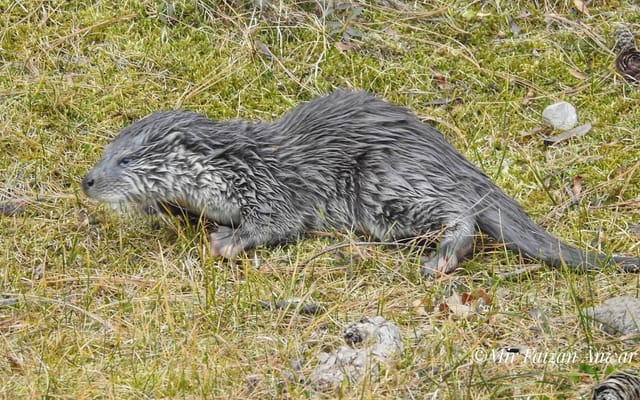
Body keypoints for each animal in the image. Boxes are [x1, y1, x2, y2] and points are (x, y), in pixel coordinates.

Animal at [82, 90, 639, 275]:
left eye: (126, 160)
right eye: (105, 152)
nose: (87, 181)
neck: (234, 168)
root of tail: (449, 156)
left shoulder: (275, 190)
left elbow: (278, 223)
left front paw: (229, 240)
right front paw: (166, 211)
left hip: (384, 184)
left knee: (460, 215)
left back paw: (442, 259)